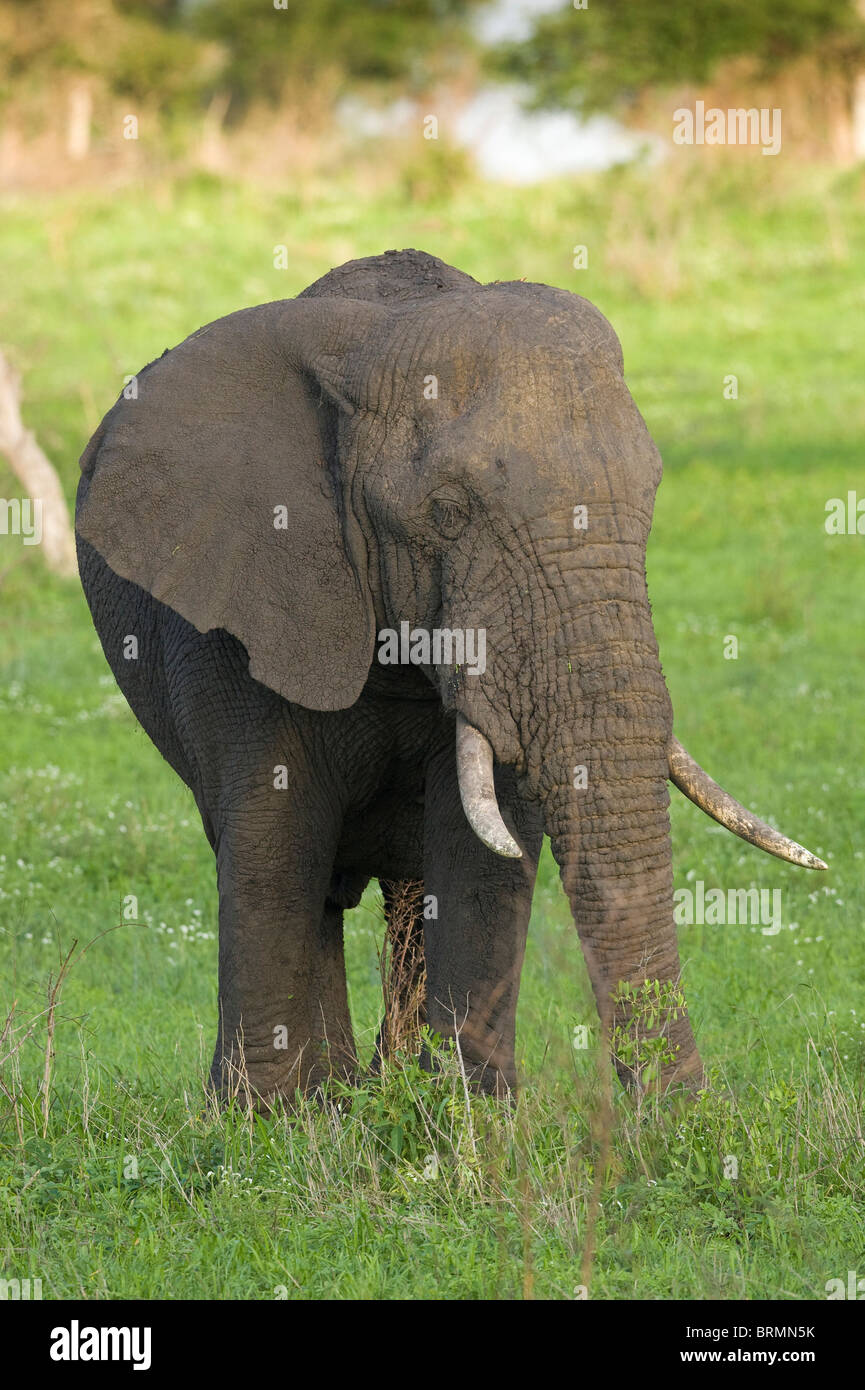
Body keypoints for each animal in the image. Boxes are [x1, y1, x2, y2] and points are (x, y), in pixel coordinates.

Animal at [75, 248, 826, 1105]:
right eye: (447, 511)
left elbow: (480, 854)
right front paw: (265, 1121)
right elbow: (274, 834)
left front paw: (468, 1117)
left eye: (651, 496)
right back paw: (330, 1100)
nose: (679, 1119)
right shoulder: (235, 607)